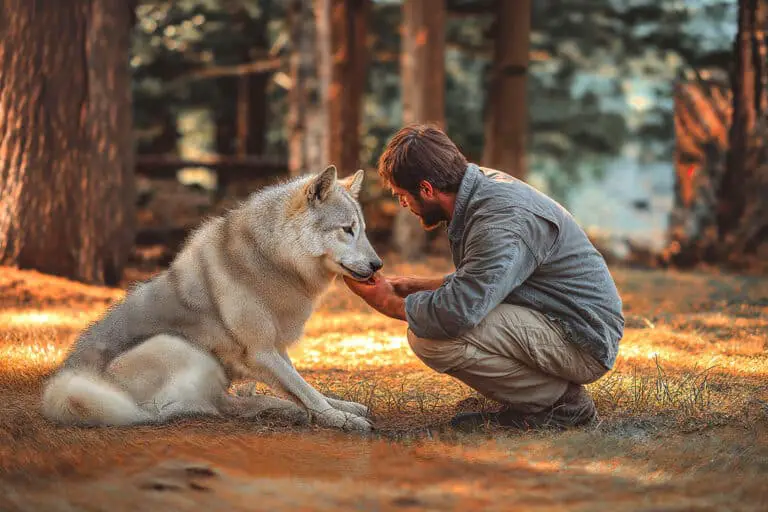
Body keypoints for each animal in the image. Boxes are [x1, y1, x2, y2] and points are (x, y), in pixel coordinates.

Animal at [41, 165, 382, 432]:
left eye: (363, 230)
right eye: (347, 229)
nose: (378, 265)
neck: (272, 259)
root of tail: (60, 390)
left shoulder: (277, 350)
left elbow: (304, 388)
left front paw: (342, 408)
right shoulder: (261, 352)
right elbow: (305, 389)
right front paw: (341, 420)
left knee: (232, 403)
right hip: (179, 347)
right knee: (220, 406)